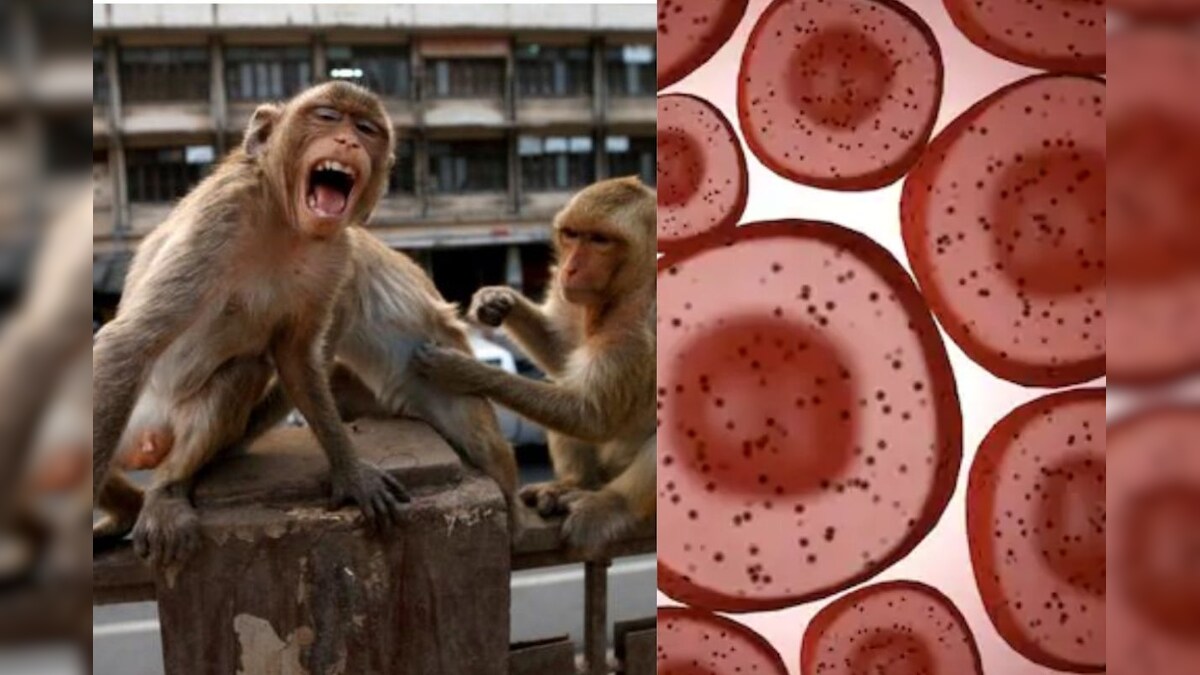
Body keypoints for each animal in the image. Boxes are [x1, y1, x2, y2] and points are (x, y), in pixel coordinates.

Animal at [91, 81, 409, 567]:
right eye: (327, 117)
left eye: (367, 129)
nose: (348, 142)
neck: (286, 221)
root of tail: (147, 442)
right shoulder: (223, 215)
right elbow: (128, 342)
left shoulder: (337, 255)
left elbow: (296, 358)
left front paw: (351, 471)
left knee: (243, 373)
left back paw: (161, 491)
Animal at [413, 176, 657, 556]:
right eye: (572, 234)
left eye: (600, 240)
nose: (570, 268)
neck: (623, 291)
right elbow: (563, 357)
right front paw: (498, 301)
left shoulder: (640, 322)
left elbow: (594, 415)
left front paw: (464, 371)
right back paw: (571, 483)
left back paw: (612, 503)